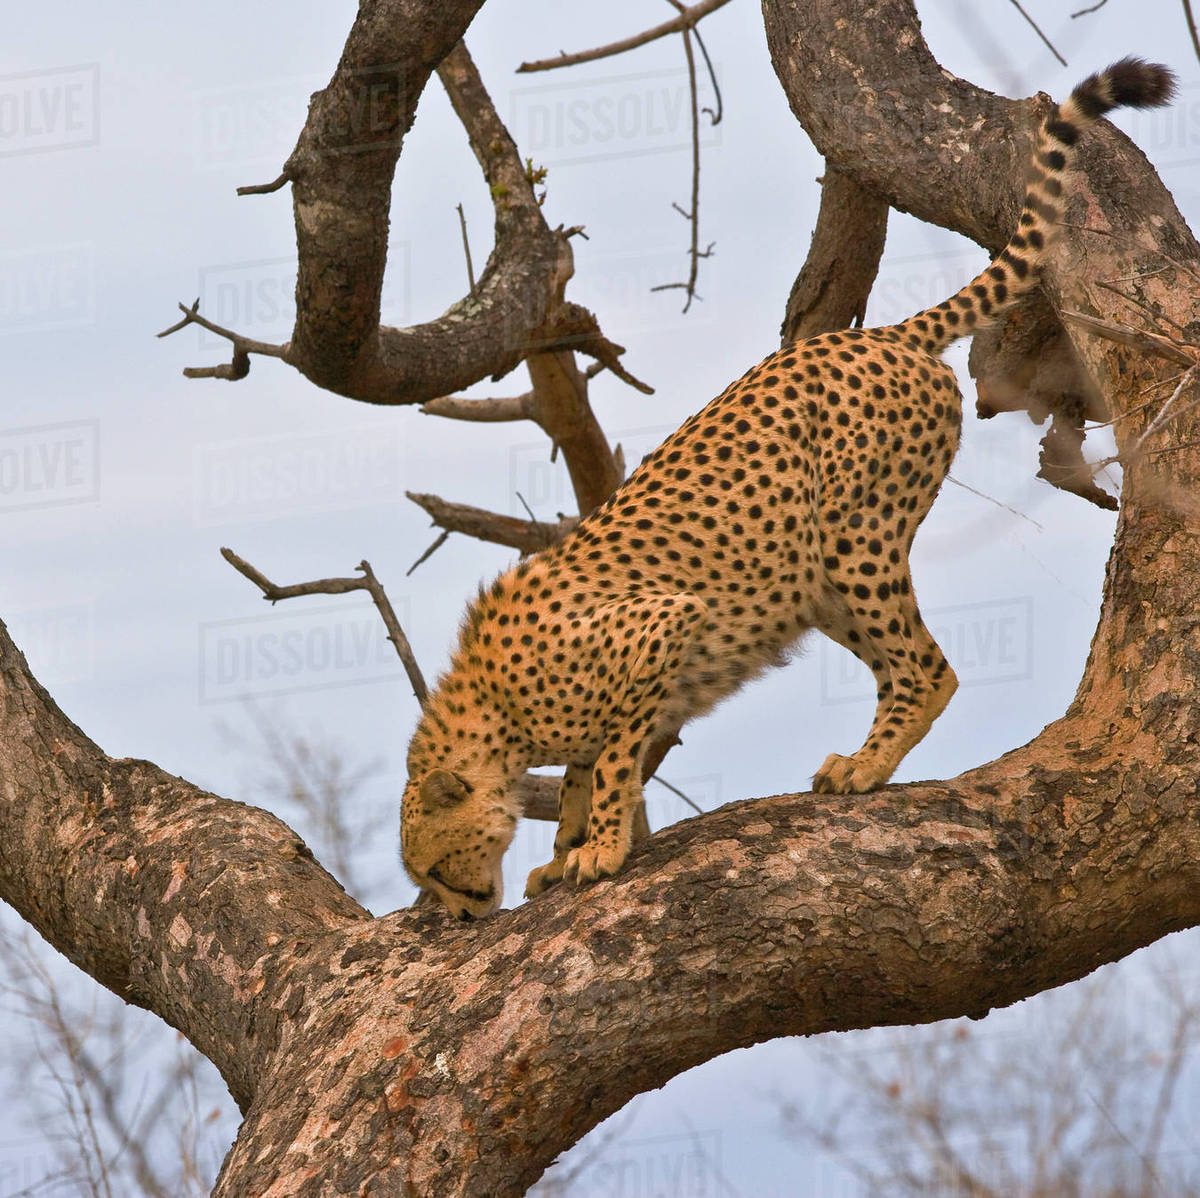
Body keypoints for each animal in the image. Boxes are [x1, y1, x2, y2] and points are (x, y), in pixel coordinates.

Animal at [401, 59, 1176, 919]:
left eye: (435, 868)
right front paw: (564, 849)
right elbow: (582, 767)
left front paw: (597, 846)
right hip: (813, 581)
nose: (457, 913)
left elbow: (610, 760)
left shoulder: (658, 628)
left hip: (855, 538)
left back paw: (866, 765)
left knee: (928, 666)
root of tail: (879, 334)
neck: (492, 710)